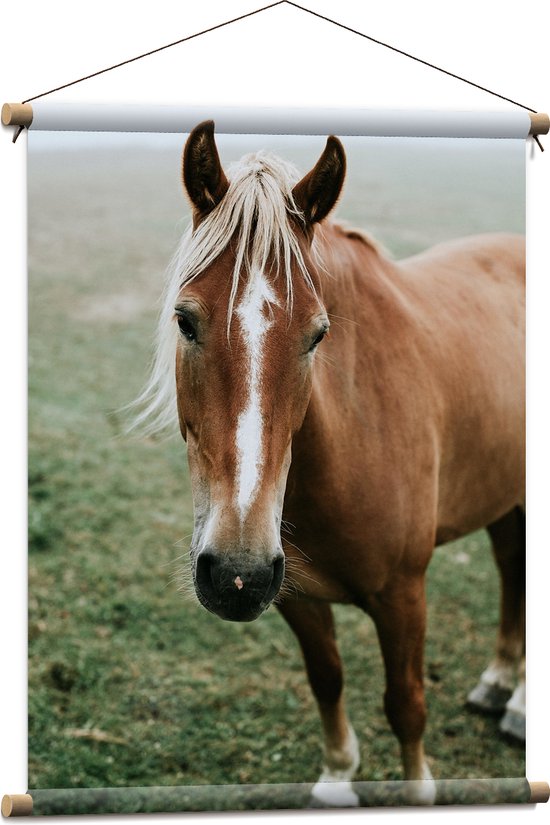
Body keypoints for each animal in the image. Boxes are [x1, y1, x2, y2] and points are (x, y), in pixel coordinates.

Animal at [135, 121, 525, 806]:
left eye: (318, 334)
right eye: (185, 320)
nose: (235, 573)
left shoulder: (404, 593)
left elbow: (406, 704)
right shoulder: (295, 596)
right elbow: (328, 679)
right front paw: (338, 776)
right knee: (511, 565)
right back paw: (499, 680)